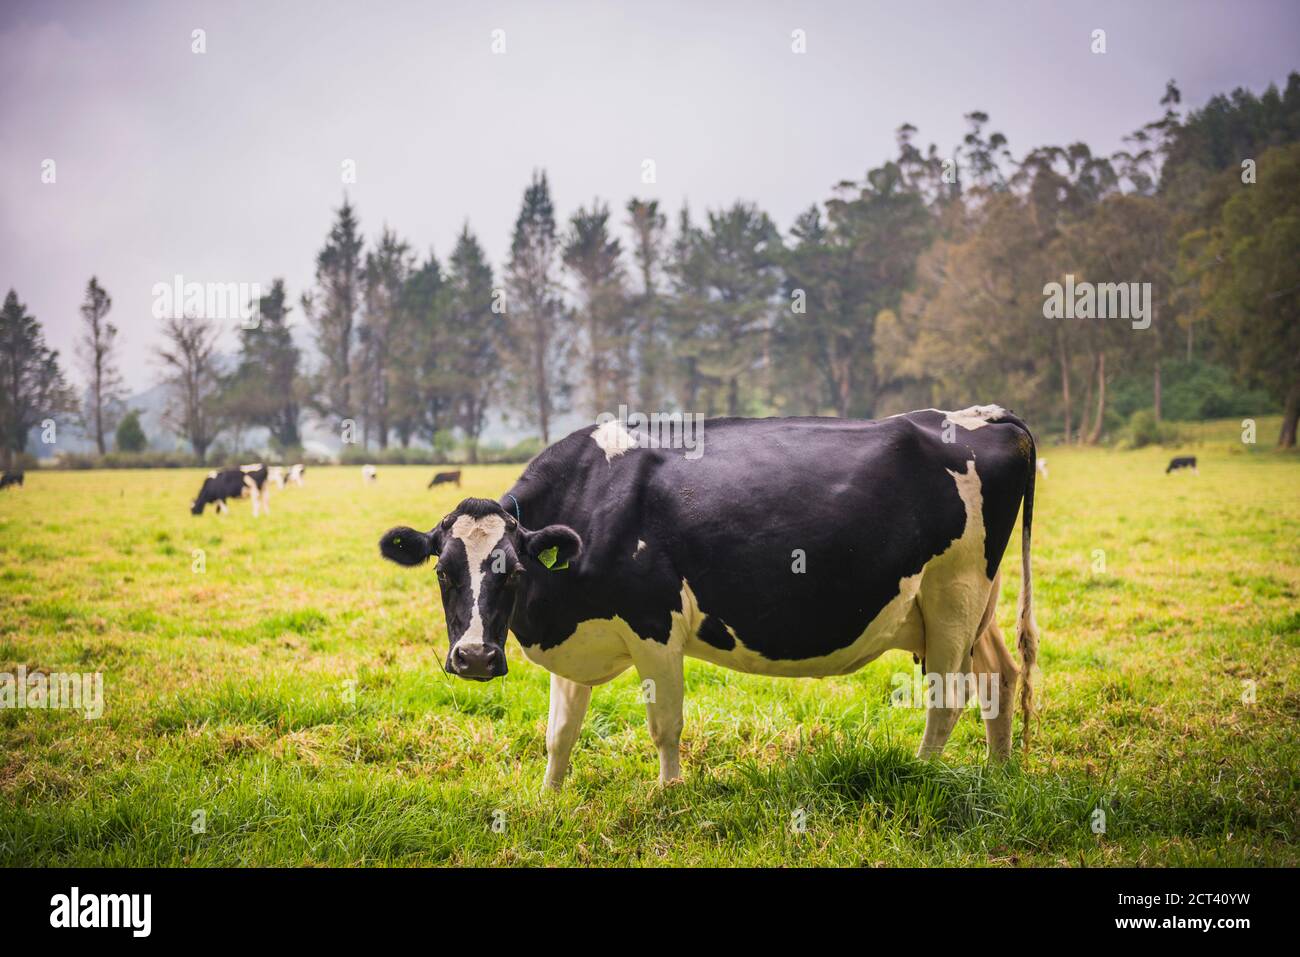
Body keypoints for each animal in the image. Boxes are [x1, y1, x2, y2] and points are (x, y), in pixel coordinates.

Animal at [379, 405, 1040, 791]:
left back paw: (923, 774)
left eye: (513, 571)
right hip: (966, 604)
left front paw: (669, 796)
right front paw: (548, 800)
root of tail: (983, 415)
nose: (474, 658)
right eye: (443, 572)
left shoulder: (656, 626)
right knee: (1000, 676)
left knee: (948, 698)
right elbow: (560, 733)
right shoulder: (578, 637)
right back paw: (998, 773)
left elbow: (664, 725)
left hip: (955, 595)